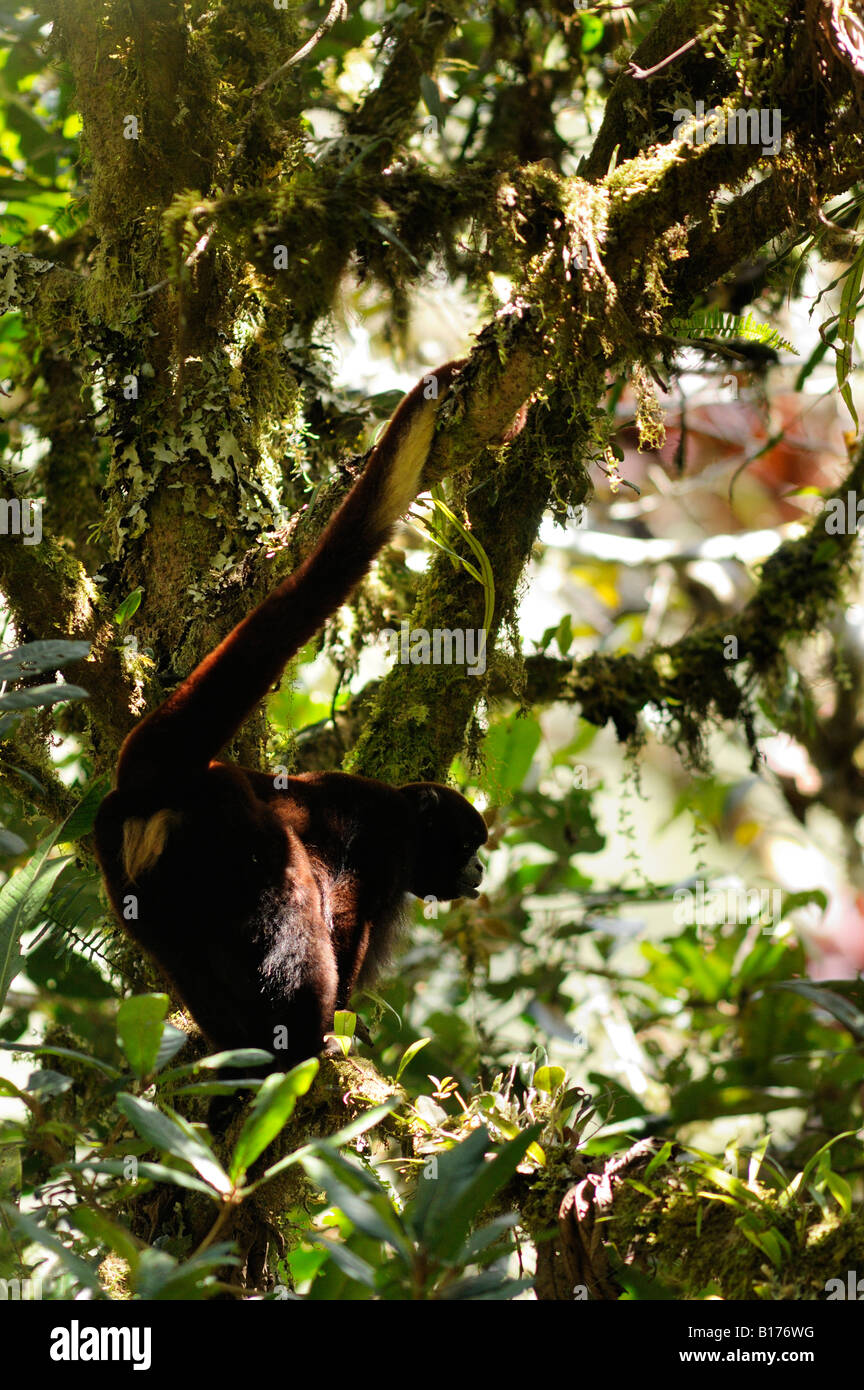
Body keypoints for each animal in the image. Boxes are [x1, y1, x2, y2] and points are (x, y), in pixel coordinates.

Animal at [93, 360, 490, 1071]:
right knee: (292, 906)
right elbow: (347, 914)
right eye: (469, 844)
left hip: (139, 889)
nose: (479, 870)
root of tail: (157, 782)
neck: (401, 808)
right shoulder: (387, 841)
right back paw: (305, 1034)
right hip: (231, 832)